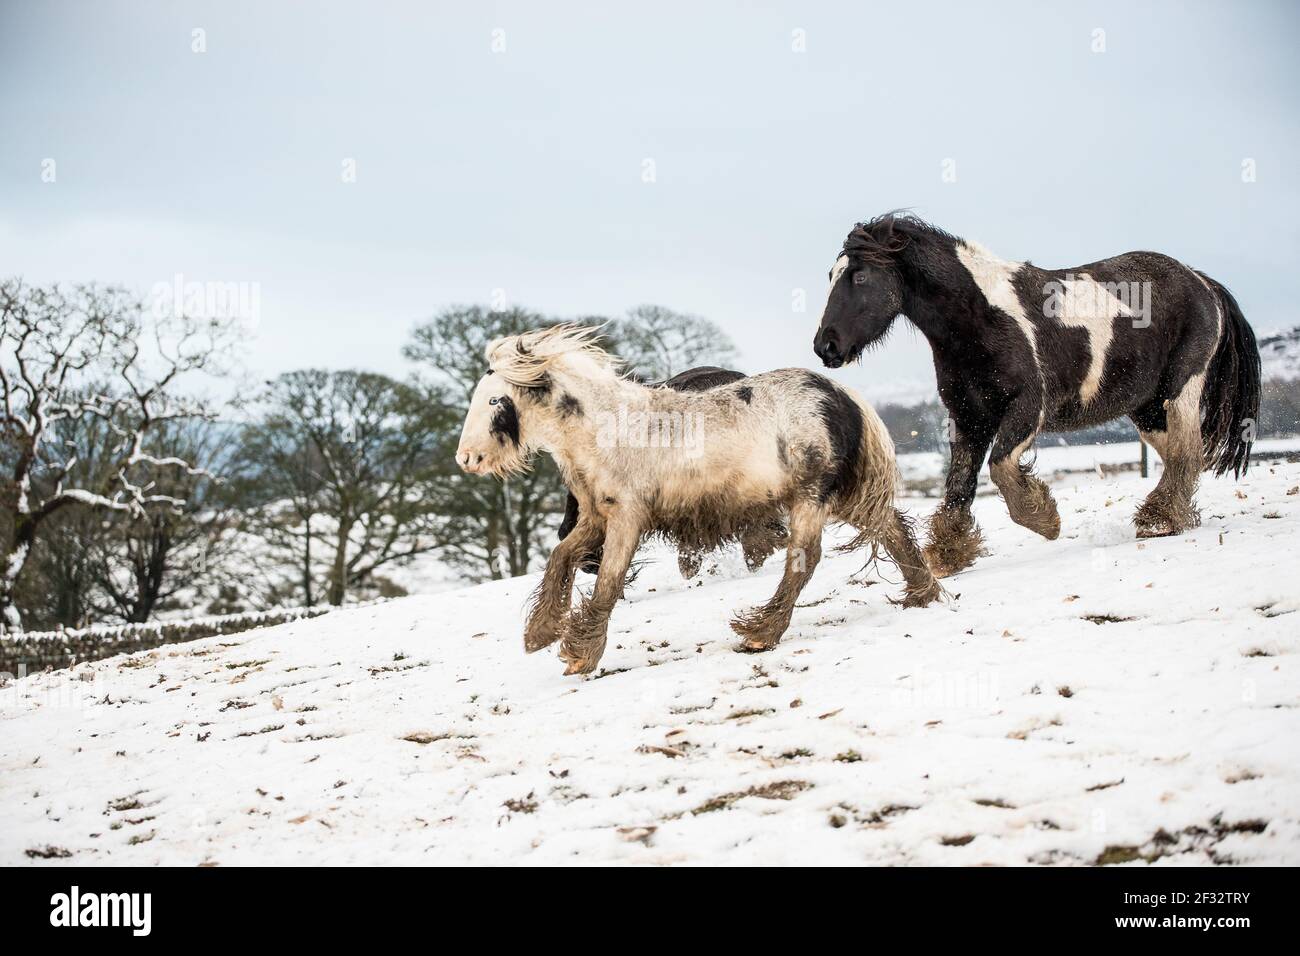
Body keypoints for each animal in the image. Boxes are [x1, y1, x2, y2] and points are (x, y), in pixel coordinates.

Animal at [812, 213, 1262, 577]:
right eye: (831, 275)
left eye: (859, 276)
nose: (825, 346)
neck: (979, 321)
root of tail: (1201, 281)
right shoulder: (967, 418)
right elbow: (959, 486)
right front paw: (948, 553)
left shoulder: (1027, 407)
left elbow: (1001, 468)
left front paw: (1044, 518)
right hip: (1147, 409)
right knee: (1184, 457)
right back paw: (1173, 515)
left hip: (1180, 389)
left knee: (1188, 453)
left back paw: (1159, 519)